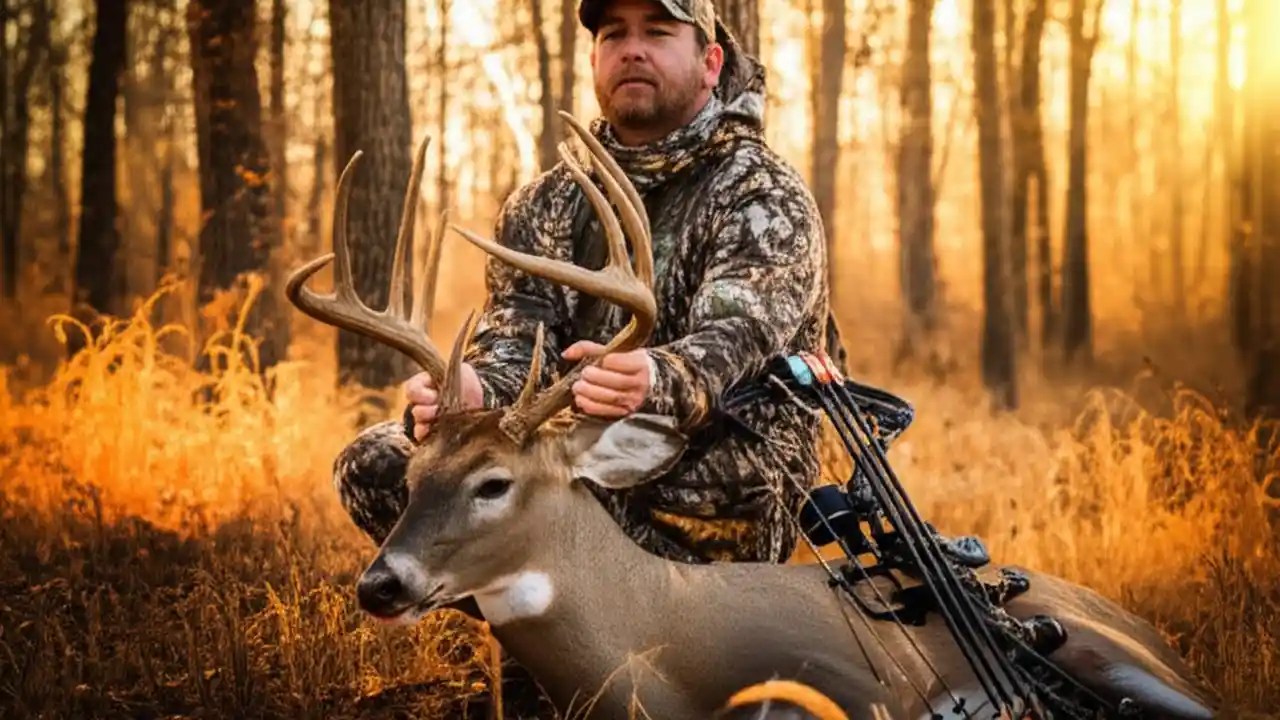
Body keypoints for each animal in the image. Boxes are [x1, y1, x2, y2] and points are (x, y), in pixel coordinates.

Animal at [285, 112, 1218, 720]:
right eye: (415, 475)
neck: (649, 646)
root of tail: (1160, 636)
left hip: (1116, 661)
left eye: (493, 483)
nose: (380, 584)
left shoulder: (845, 679)